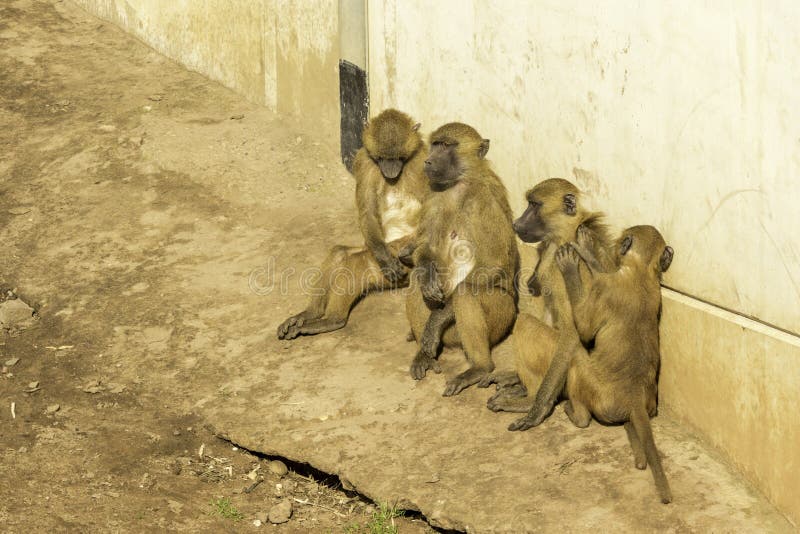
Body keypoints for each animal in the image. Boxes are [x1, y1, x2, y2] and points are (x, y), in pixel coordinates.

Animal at [277, 109, 429, 340]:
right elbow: (367, 211)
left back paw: (332, 320)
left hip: (404, 267)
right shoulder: (365, 161)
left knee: (356, 262)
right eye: (382, 158)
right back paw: (311, 314)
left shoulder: (422, 162)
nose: (390, 171)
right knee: (341, 253)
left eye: (398, 158)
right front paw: (385, 260)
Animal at [404, 122, 519, 396]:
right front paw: (427, 273)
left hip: (501, 318)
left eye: (448, 146)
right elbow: (423, 248)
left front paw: (436, 319)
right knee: (416, 280)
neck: (458, 185)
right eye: (435, 144)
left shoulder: (484, 201)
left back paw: (480, 367)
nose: (428, 161)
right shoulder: (433, 193)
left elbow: (494, 264)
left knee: (466, 291)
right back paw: (425, 355)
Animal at [555, 225, 674, 504]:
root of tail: (634, 396)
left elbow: (585, 329)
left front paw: (577, 259)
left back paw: (577, 415)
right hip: (650, 404)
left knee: (578, 356)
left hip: (597, 394)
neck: (639, 272)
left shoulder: (605, 287)